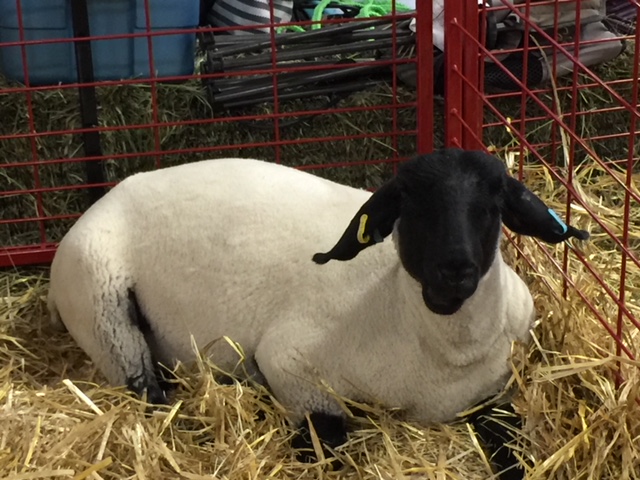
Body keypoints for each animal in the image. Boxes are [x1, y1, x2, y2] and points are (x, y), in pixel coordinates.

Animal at [48, 148, 588, 474]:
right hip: (104, 312)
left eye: (493, 204)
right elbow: (326, 439)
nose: (452, 271)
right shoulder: (291, 362)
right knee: (148, 392)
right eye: (407, 205)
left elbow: (518, 450)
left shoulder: (496, 394)